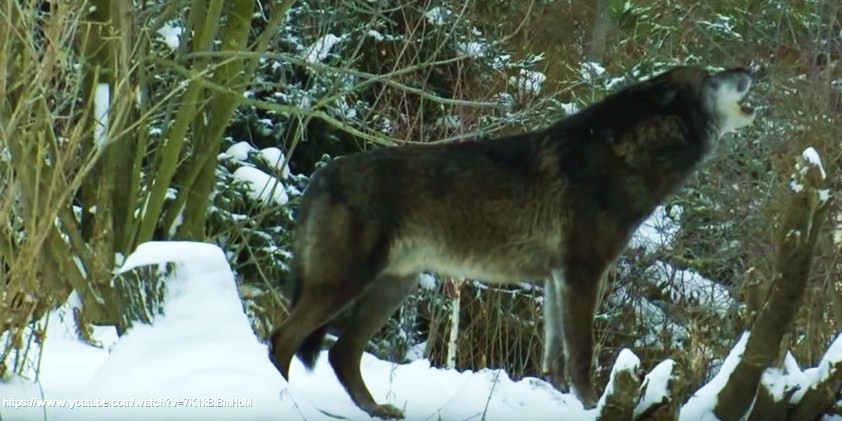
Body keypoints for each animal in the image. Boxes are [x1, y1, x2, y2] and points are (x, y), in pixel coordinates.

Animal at [269, 66, 755, 419]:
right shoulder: (583, 274)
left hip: (391, 288)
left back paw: (376, 410)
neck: (625, 156)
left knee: (341, 354)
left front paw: (562, 399)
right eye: (713, 76)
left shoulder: (557, 280)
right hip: (346, 285)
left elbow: (555, 356)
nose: (749, 69)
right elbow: (581, 355)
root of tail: (323, 173)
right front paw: (590, 403)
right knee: (284, 339)